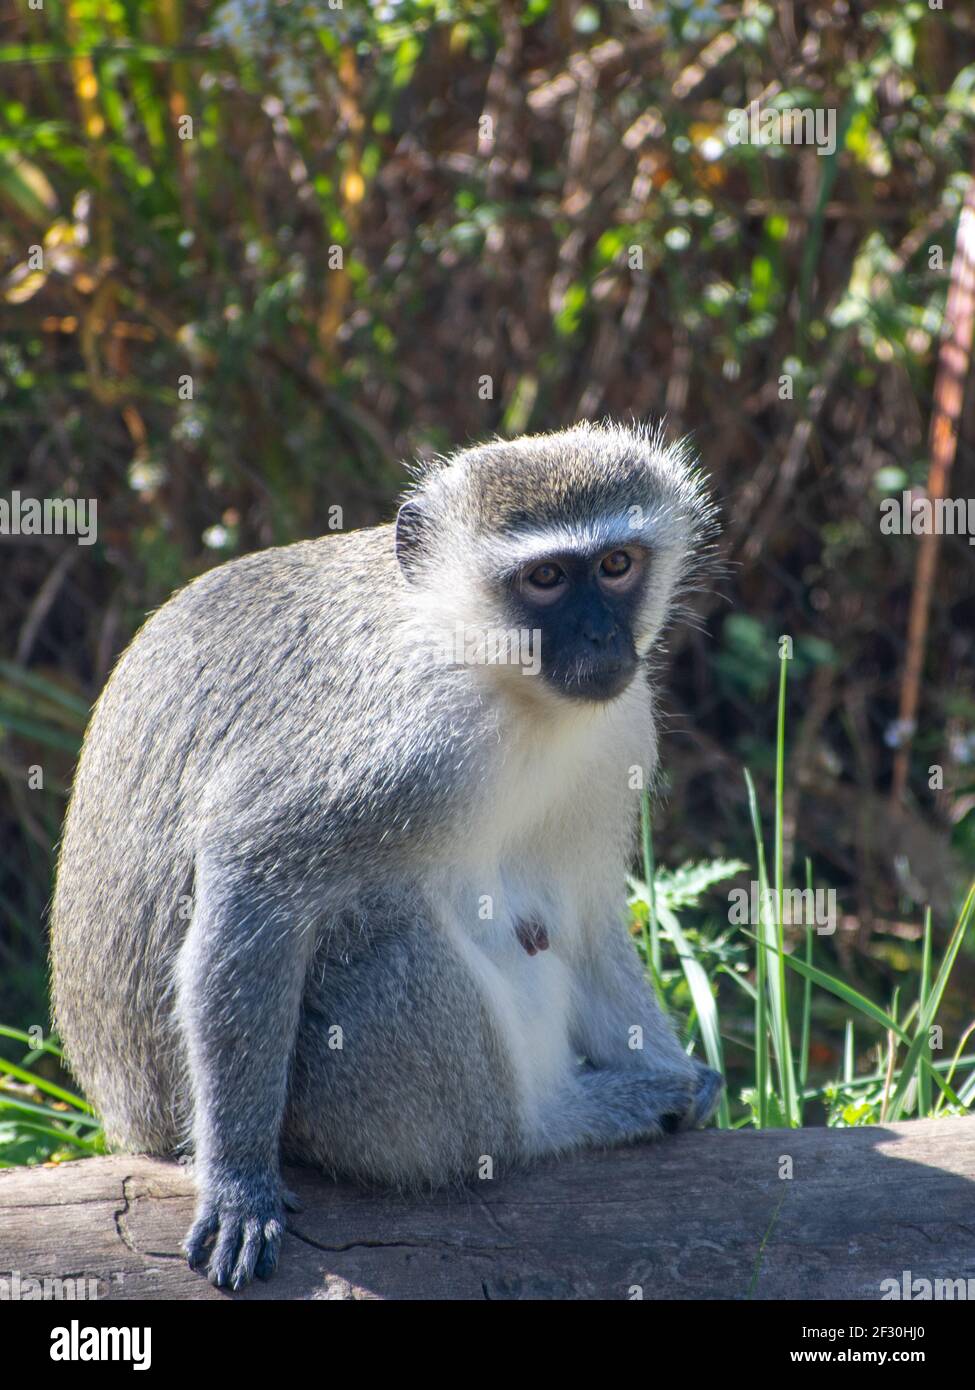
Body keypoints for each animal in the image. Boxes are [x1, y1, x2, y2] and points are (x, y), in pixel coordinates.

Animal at [50, 420, 723, 1291]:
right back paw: (558, 1122)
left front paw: (687, 1080)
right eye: (544, 578)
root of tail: (128, 1122)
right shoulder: (399, 738)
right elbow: (252, 879)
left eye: (616, 565)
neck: (506, 684)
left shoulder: (617, 730)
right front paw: (237, 1184)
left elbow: (583, 920)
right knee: (394, 941)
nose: (602, 639)